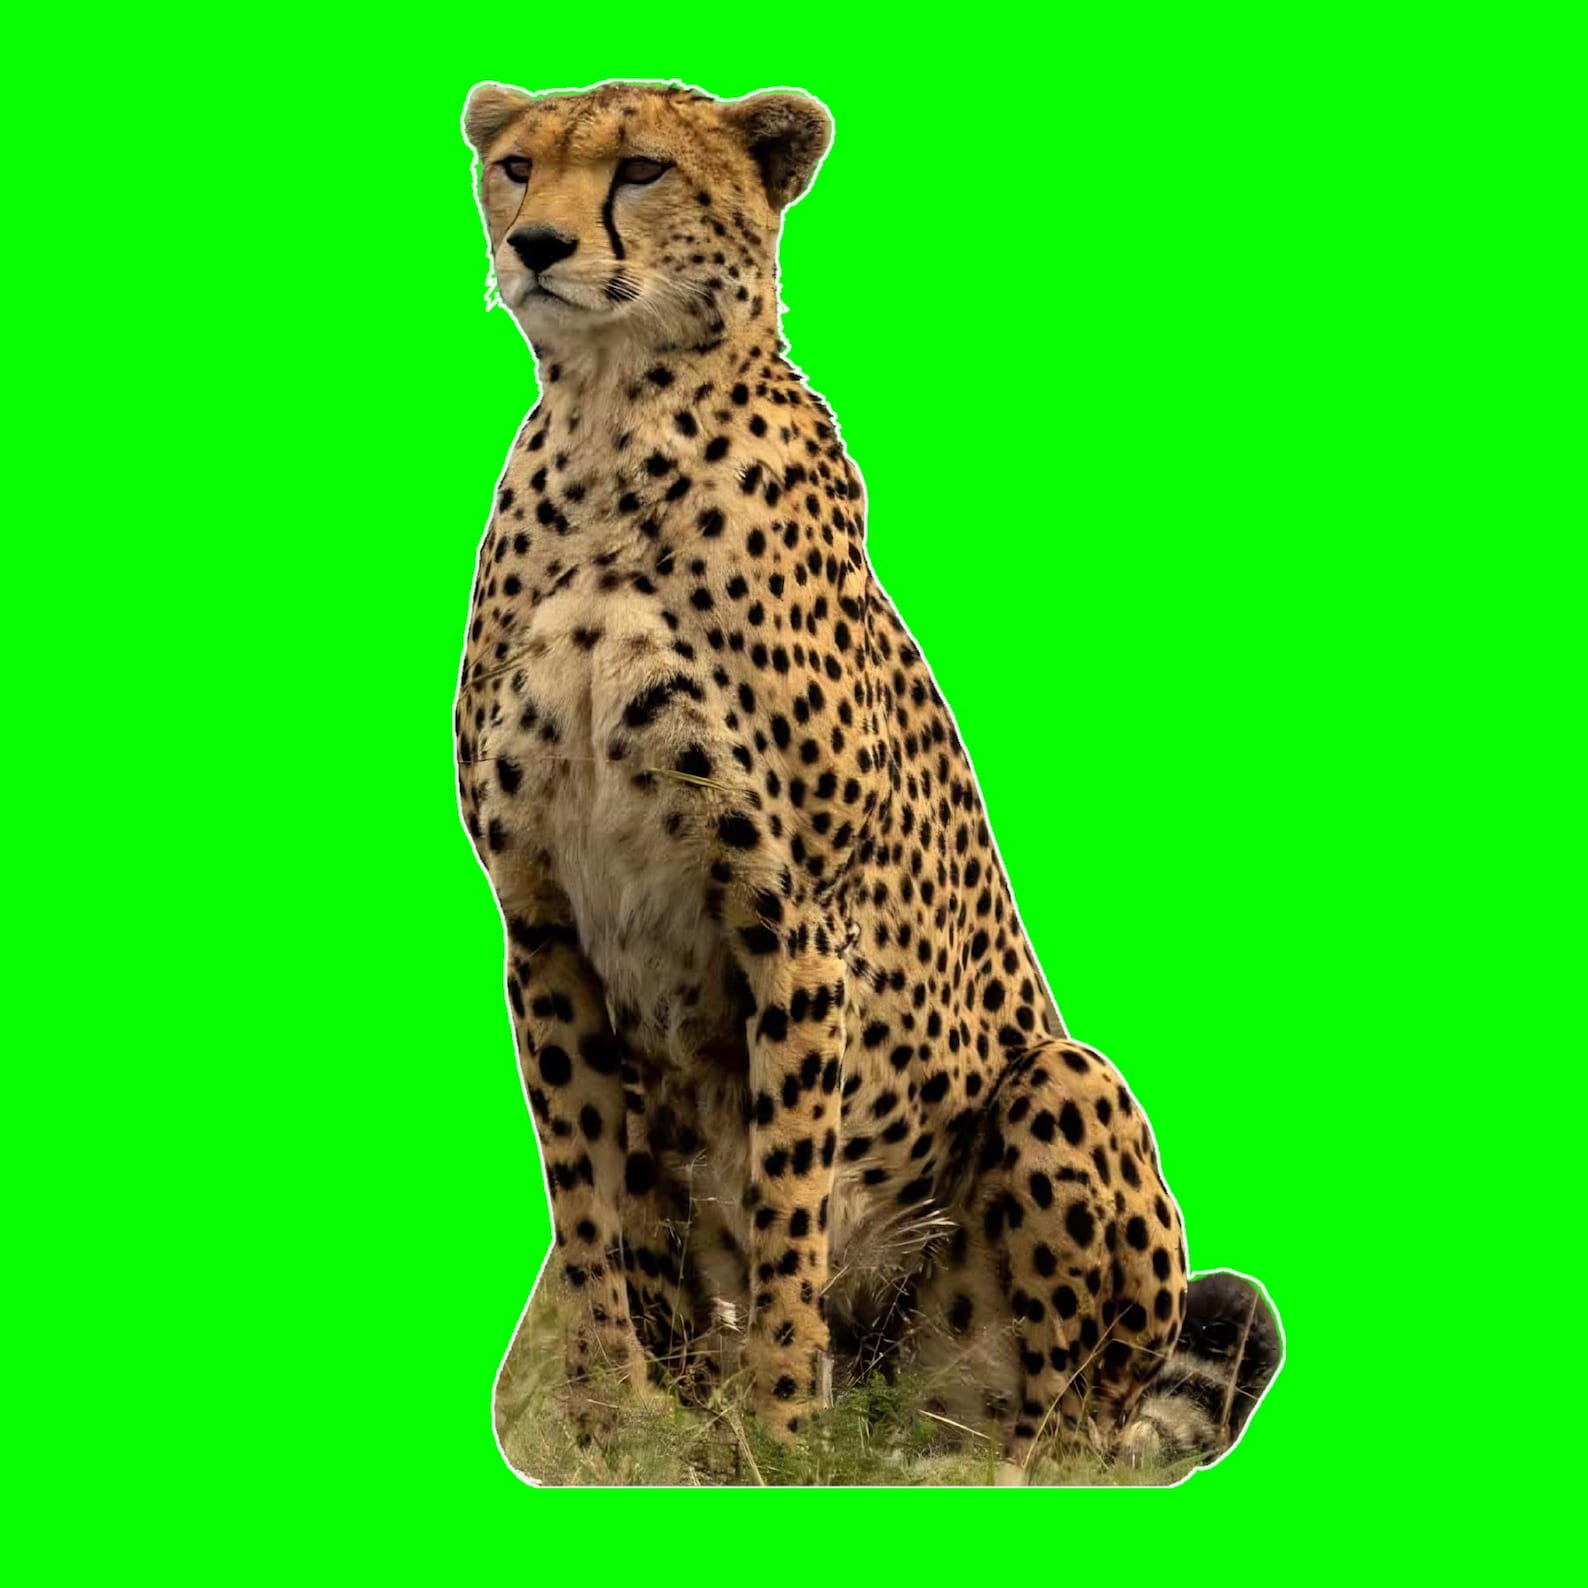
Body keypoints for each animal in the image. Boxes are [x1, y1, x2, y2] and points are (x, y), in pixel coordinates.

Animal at [454, 77, 1237, 1475]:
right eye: (516, 165)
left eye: (642, 168)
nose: (536, 246)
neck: (611, 424)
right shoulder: (539, 917)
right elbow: (586, 1197)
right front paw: (609, 1424)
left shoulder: (795, 915)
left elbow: (785, 1202)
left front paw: (774, 1437)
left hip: (1063, 1088)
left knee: (1062, 1429)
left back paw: (946, 1454)